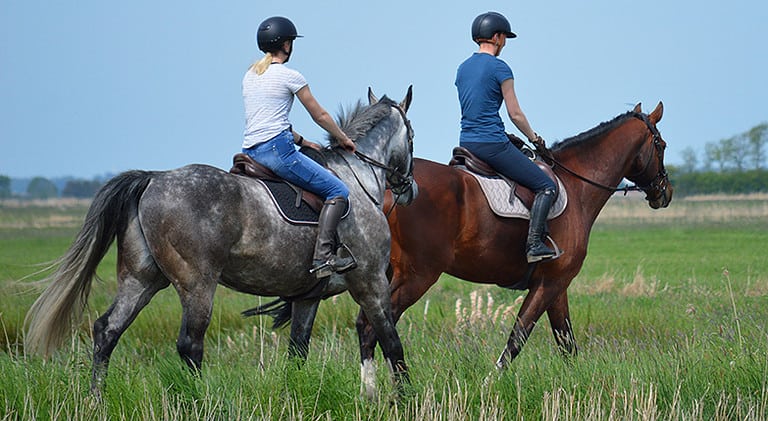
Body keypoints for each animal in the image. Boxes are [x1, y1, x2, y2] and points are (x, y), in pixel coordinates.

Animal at [24, 86, 418, 399]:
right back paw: (198, 400)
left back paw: (96, 398)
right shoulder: (370, 283)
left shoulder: (307, 297)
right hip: (197, 284)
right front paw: (405, 397)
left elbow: (298, 353)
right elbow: (390, 340)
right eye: (412, 135)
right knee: (190, 344)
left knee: (107, 330)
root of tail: (153, 179)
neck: (356, 179)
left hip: (141, 279)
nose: (409, 188)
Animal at [355, 102, 673, 396]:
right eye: (662, 145)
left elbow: (566, 343)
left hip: (384, 276)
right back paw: (402, 392)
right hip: (417, 276)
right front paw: (489, 384)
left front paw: (578, 388)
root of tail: (390, 187)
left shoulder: (557, 287)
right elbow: (519, 336)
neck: (577, 187)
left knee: (365, 326)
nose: (665, 193)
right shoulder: (549, 284)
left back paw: (370, 392)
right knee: (376, 329)